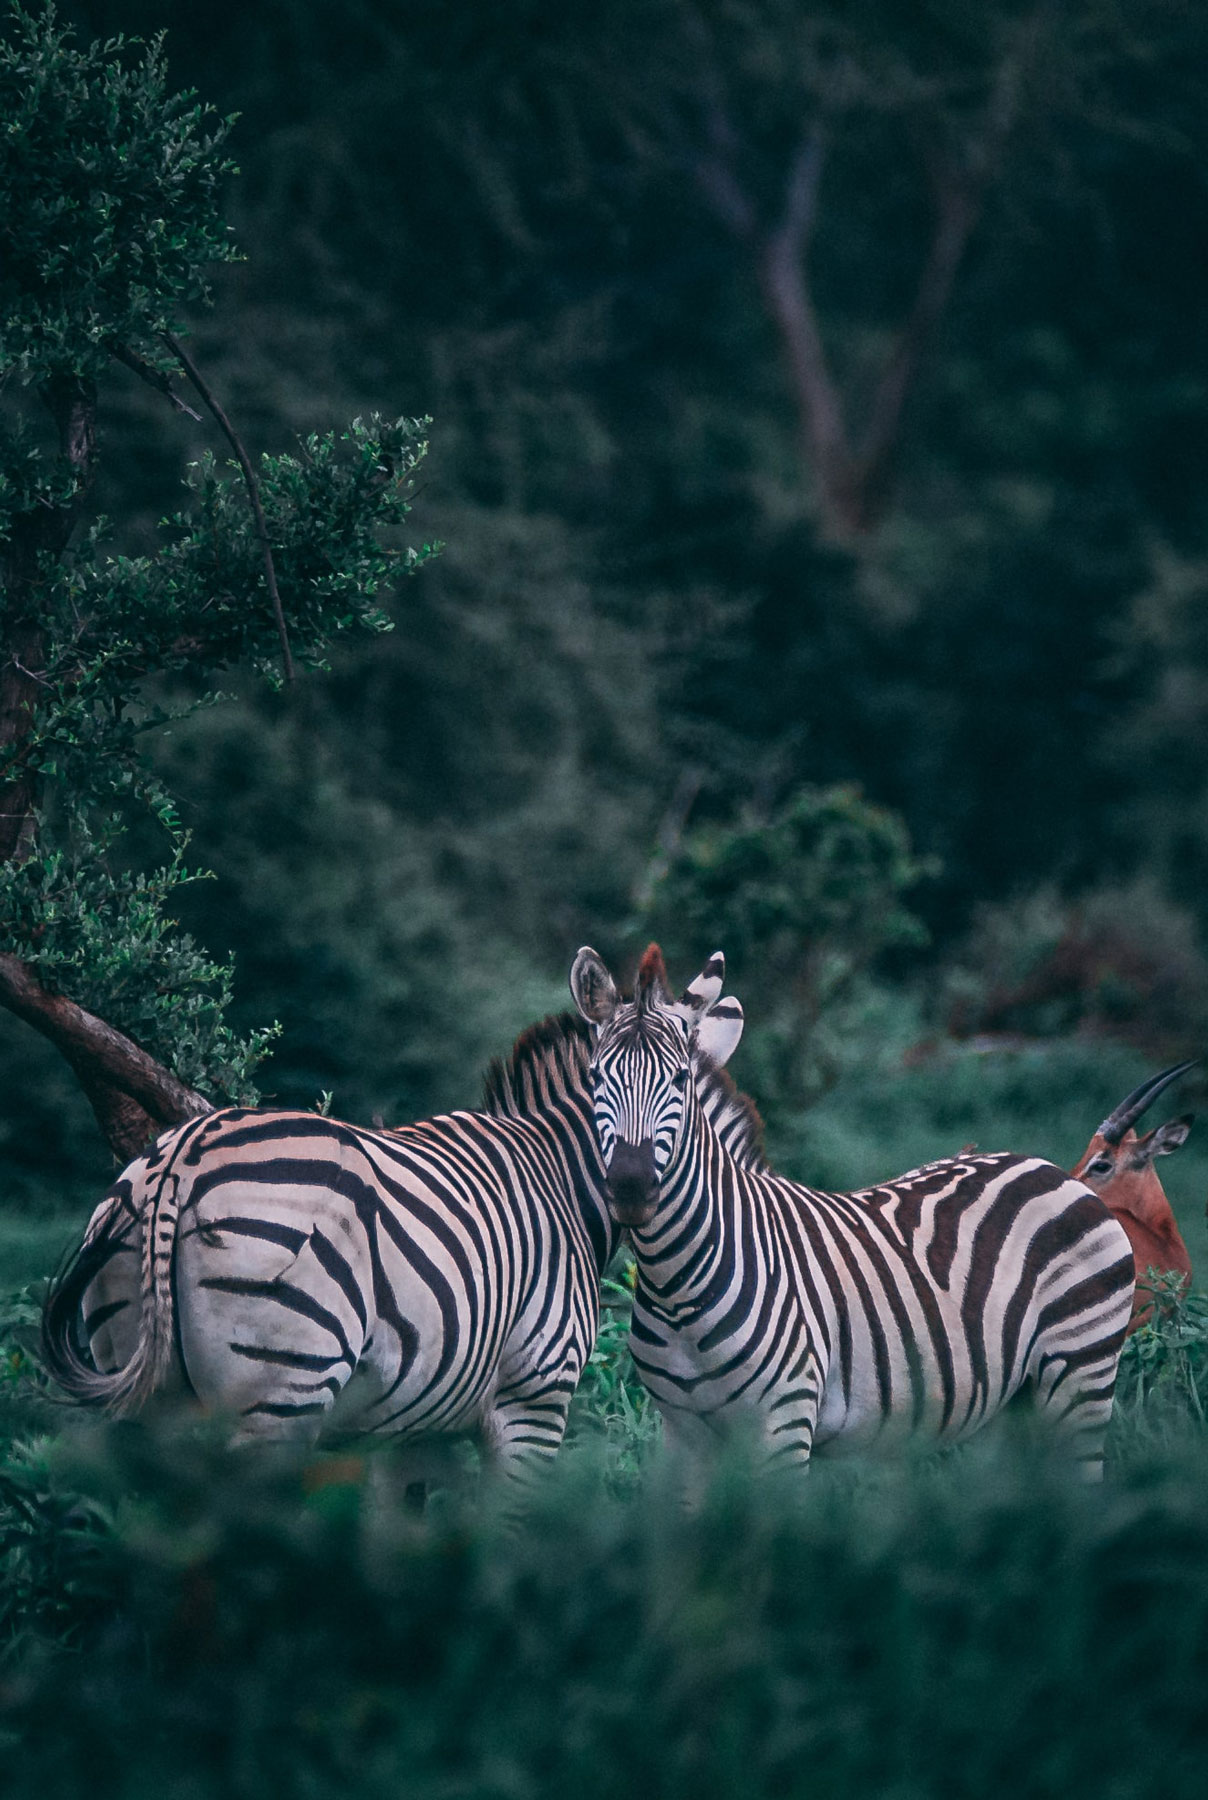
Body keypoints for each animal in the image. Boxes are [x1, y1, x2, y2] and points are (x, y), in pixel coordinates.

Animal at [42, 994, 748, 1482]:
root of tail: (182, 1155)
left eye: (678, 1086)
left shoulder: (413, 1426)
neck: (559, 1178)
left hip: (141, 1382)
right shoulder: (533, 1399)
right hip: (280, 1393)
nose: (630, 1185)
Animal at [570, 943, 1136, 1477]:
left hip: (1081, 1375)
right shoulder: (683, 1434)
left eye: (680, 1080)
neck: (678, 1286)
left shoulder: (785, 1422)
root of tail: (1051, 1169)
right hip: (1010, 1405)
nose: (631, 1188)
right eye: (595, 1077)